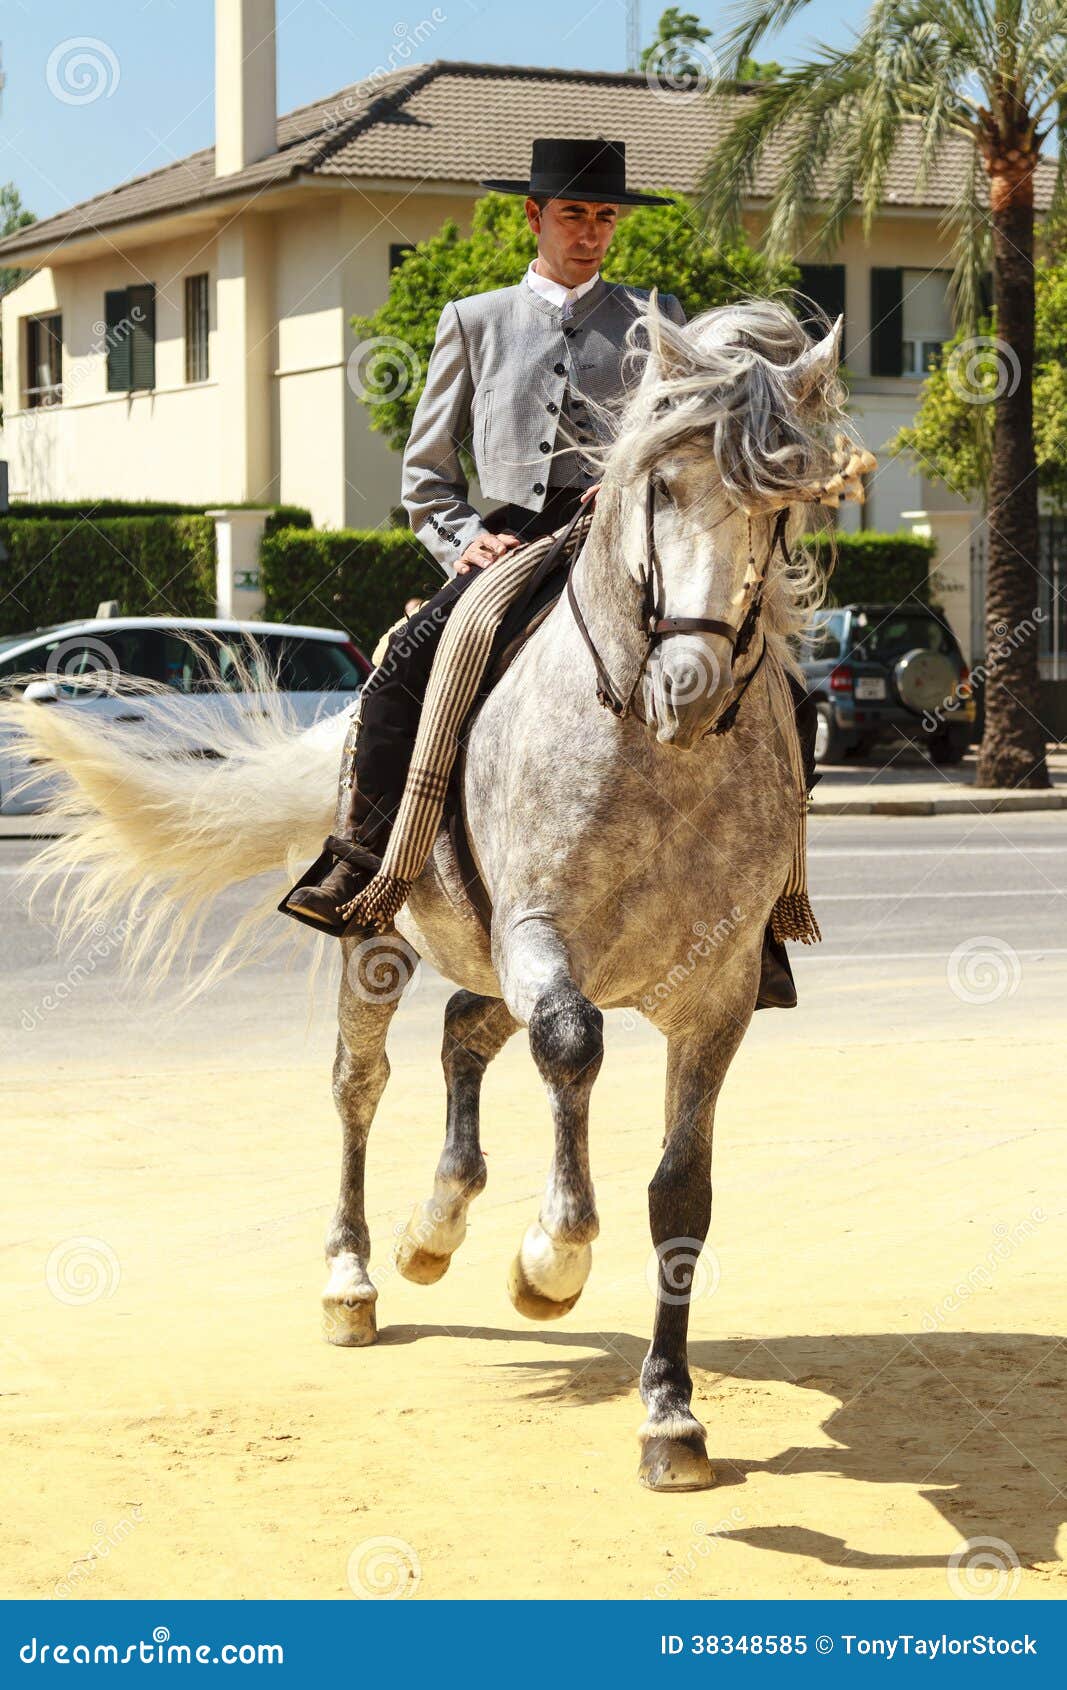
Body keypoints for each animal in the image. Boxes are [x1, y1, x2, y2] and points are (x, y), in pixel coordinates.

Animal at [14, 296, 858, 1492]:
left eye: (779, 509)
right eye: (659, 485)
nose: (686, 690)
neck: (650, 752)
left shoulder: (718, 995)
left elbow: (678, 1190)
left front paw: (669, 1414)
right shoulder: (540, 936)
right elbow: (570, 1050)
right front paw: (549, 1258)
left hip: (488, 954)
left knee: (466, 1029)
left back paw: (436, 1225)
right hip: (380, 943)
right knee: (361, 1085)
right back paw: (357, 1275)